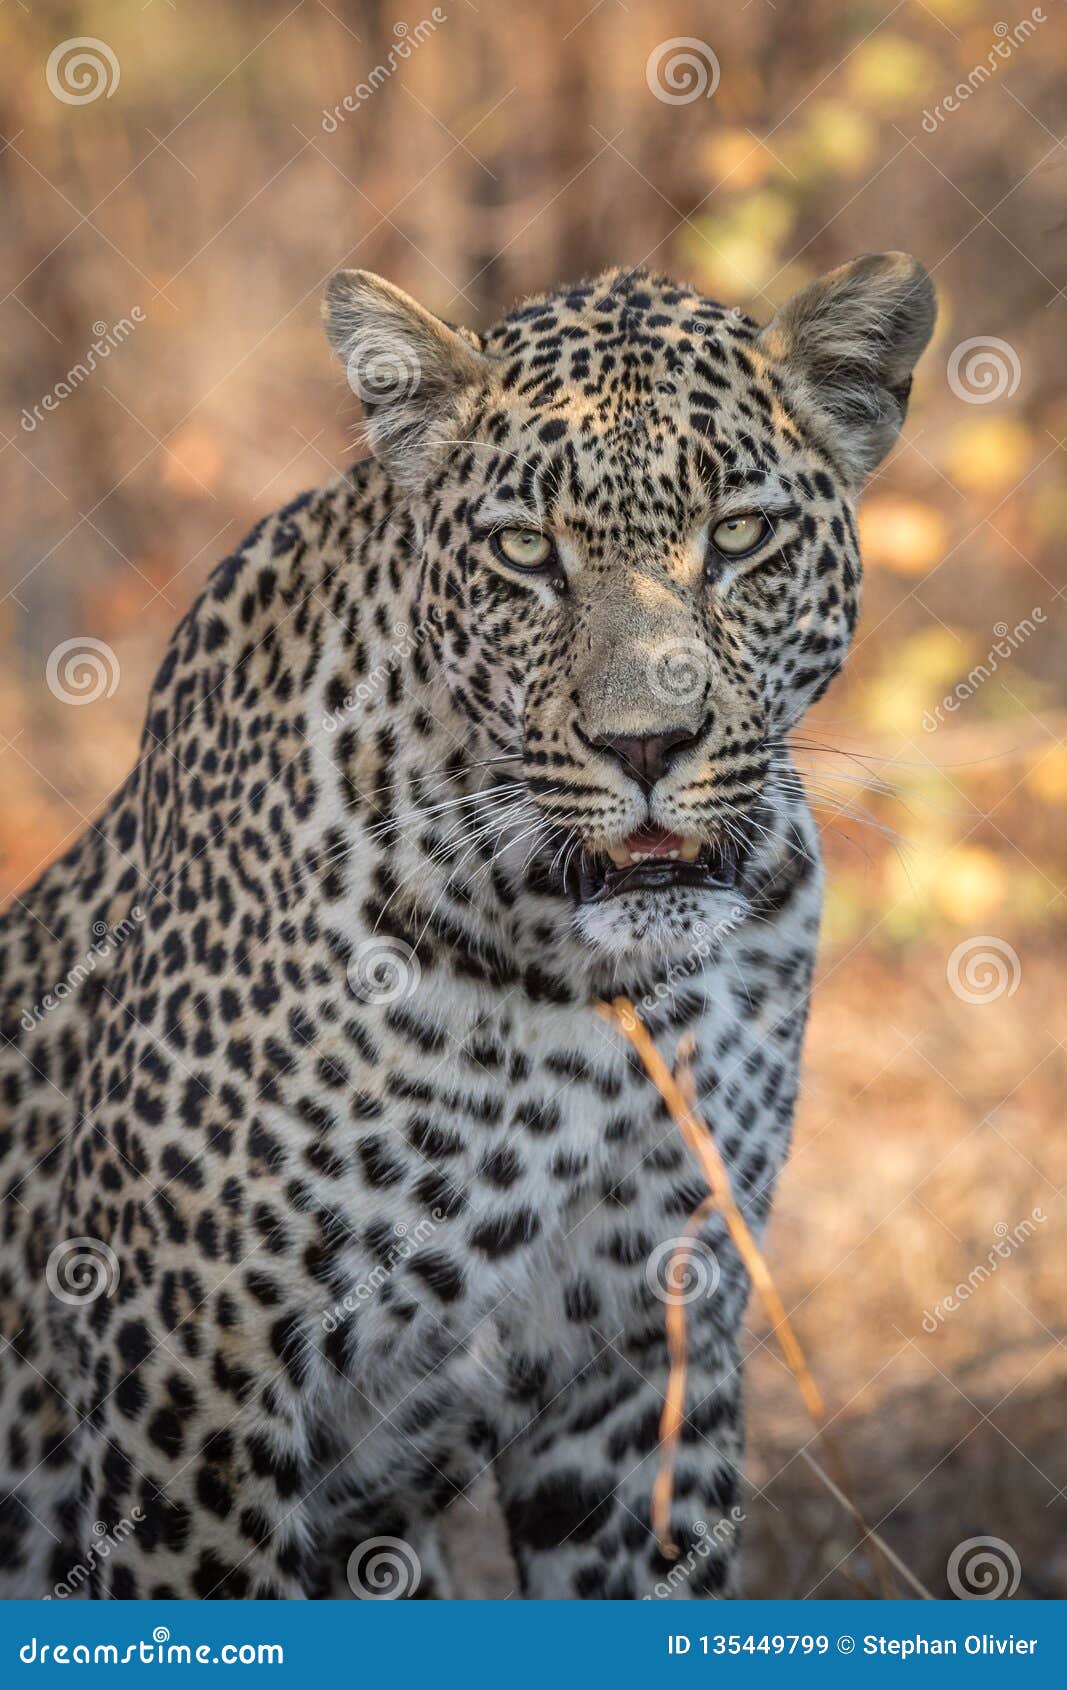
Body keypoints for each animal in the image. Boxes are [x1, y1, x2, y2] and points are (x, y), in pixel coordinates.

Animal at [0, 252, 935, 1600]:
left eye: (738, 534)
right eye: (522, 552)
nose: (645, 744)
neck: (589, 978)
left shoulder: (641, 1348)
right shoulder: (187, 1359)